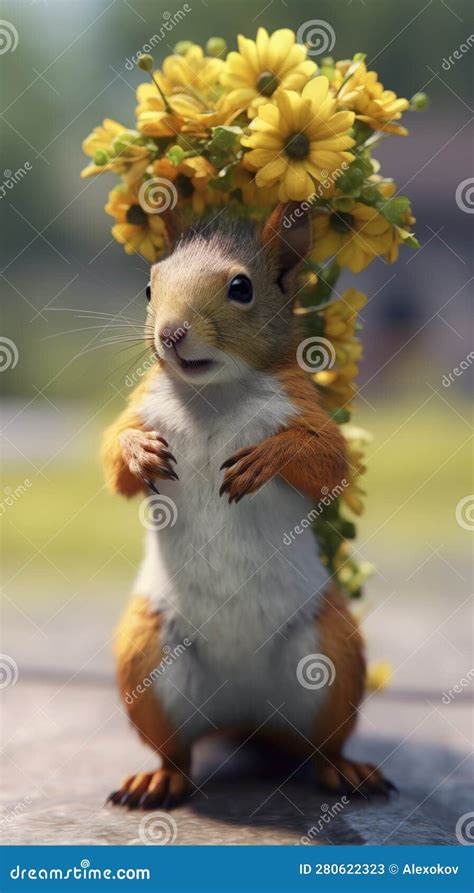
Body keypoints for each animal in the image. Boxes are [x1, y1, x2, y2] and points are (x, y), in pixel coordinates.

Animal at [102, 202, 393, 810]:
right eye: (149, 286)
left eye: (242, 288)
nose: (171, 334)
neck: (213, 392)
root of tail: (246, 715)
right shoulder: (142, 403)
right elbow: (112, 459)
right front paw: (137, 451)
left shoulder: (302, 405)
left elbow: (330, 462)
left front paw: (268, 459)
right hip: (146, 658)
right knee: (176, 752)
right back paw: (159, 778)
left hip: (334, 654)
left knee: (325, 744)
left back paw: (344, 769)